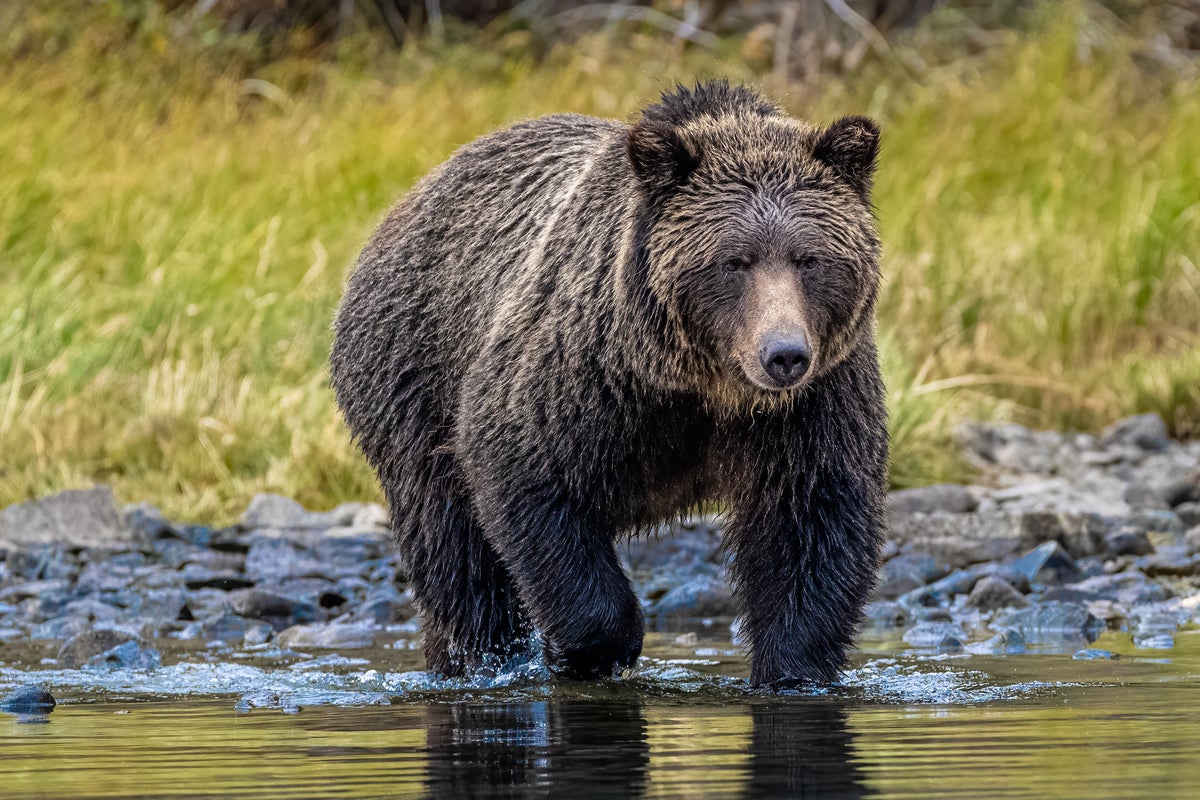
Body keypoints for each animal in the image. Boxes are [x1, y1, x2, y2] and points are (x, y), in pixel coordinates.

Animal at [330, 80, 888, 688]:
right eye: (734, 261)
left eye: (810, 259)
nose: (784, 354)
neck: (705, 388)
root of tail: (407, 201)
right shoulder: (585, 376)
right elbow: (526, 472)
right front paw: (590, 649)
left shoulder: (814, 404)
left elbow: (811, 524)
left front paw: (792, 668)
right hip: (413, 373)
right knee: (455, 550)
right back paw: (481, 658)